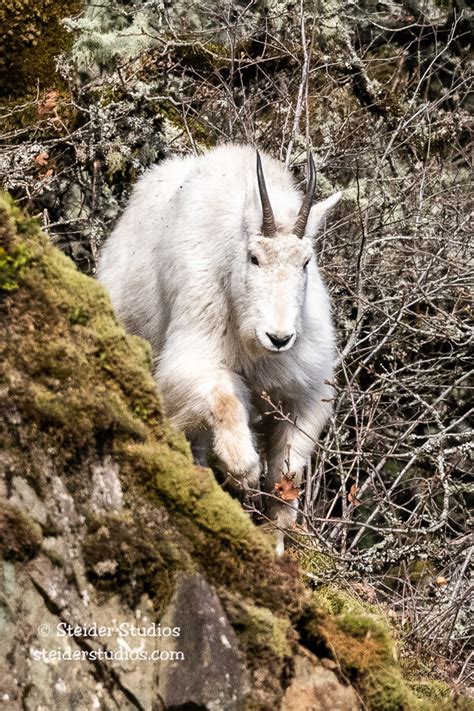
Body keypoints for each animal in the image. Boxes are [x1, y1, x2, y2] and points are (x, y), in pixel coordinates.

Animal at [98, 144, 340, 555]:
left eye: (306, 262)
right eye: (254, 258)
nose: (279, 337)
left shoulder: (304, 393)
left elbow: (288, 472)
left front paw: (274, 542)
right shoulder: (194, 355)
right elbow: (225, 403)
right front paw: (244, 475)